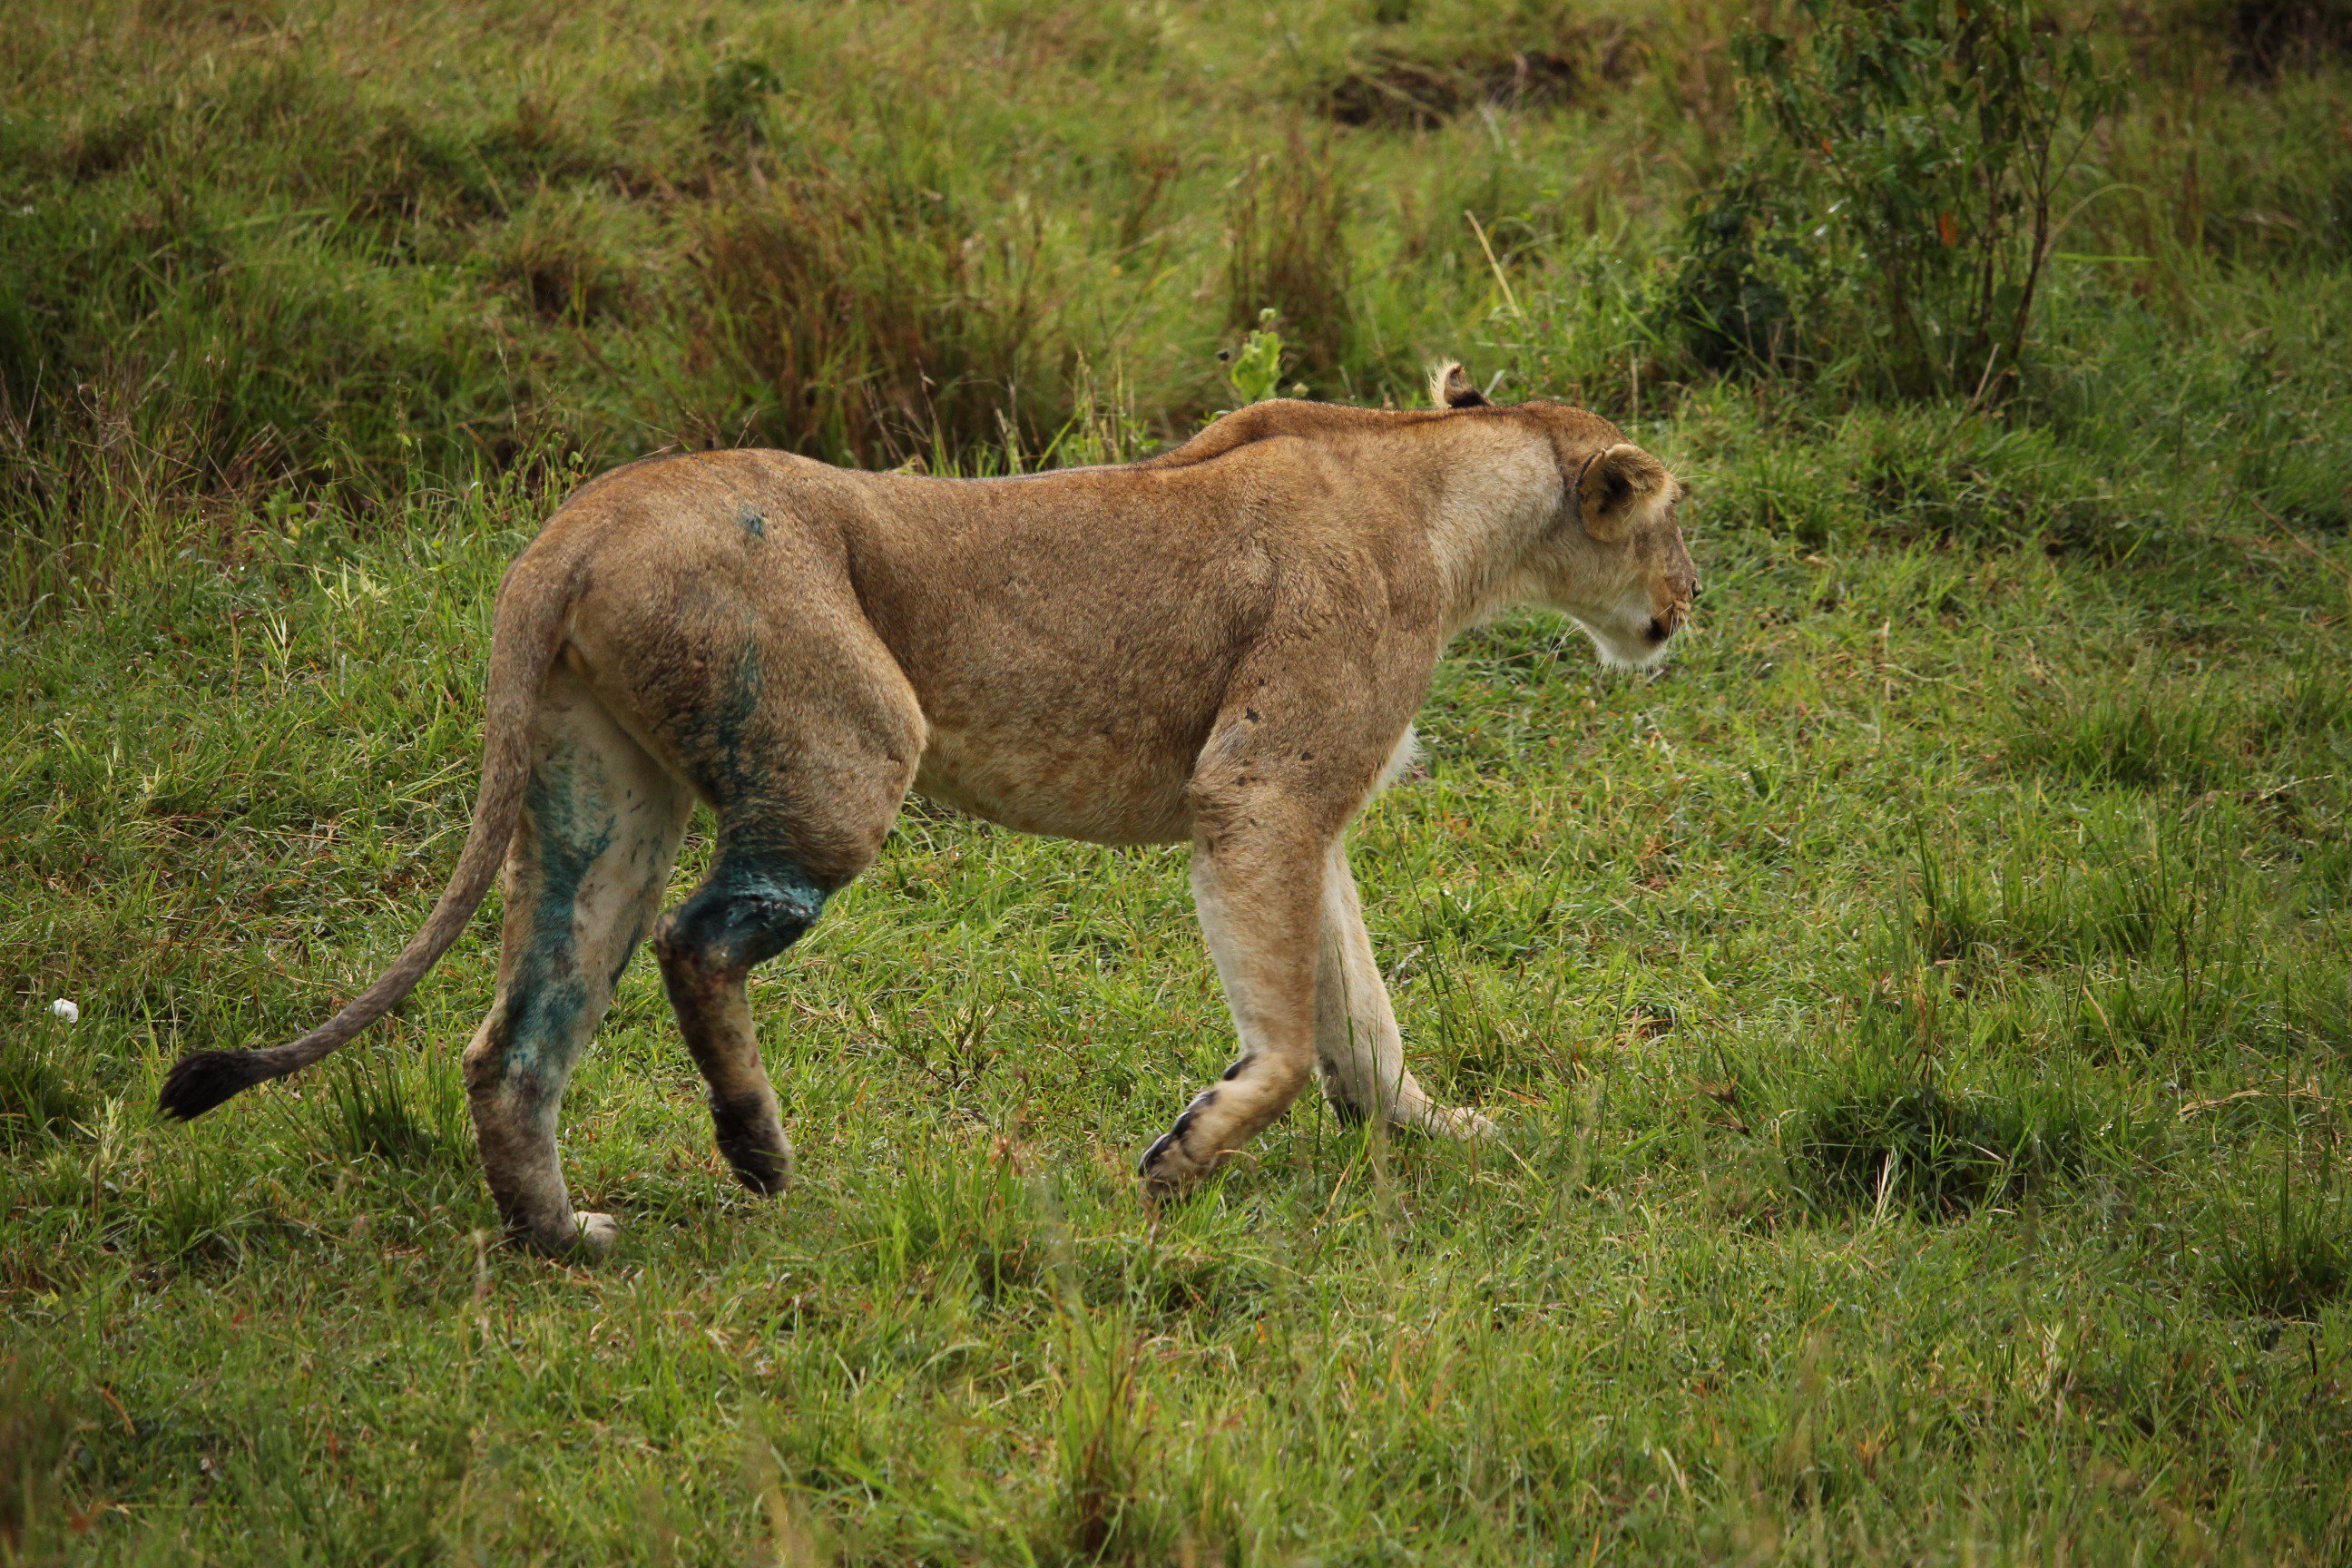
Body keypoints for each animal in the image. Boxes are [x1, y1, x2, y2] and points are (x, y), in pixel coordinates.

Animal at [158, 362, 1698, 1256]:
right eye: (1674, 520)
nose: (1688, 604)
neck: (1445, 495)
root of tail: (573, 531)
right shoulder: (1259, 789)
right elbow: (1283, 1034)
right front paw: (1177, 1161)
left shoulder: (1309, 815)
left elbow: (1362, 1014)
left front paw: (1443, 1134)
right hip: (846, 752)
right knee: (693, 947)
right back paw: (758, 1151)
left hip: (602, 799)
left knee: (517, 1039)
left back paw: (565, 1239)